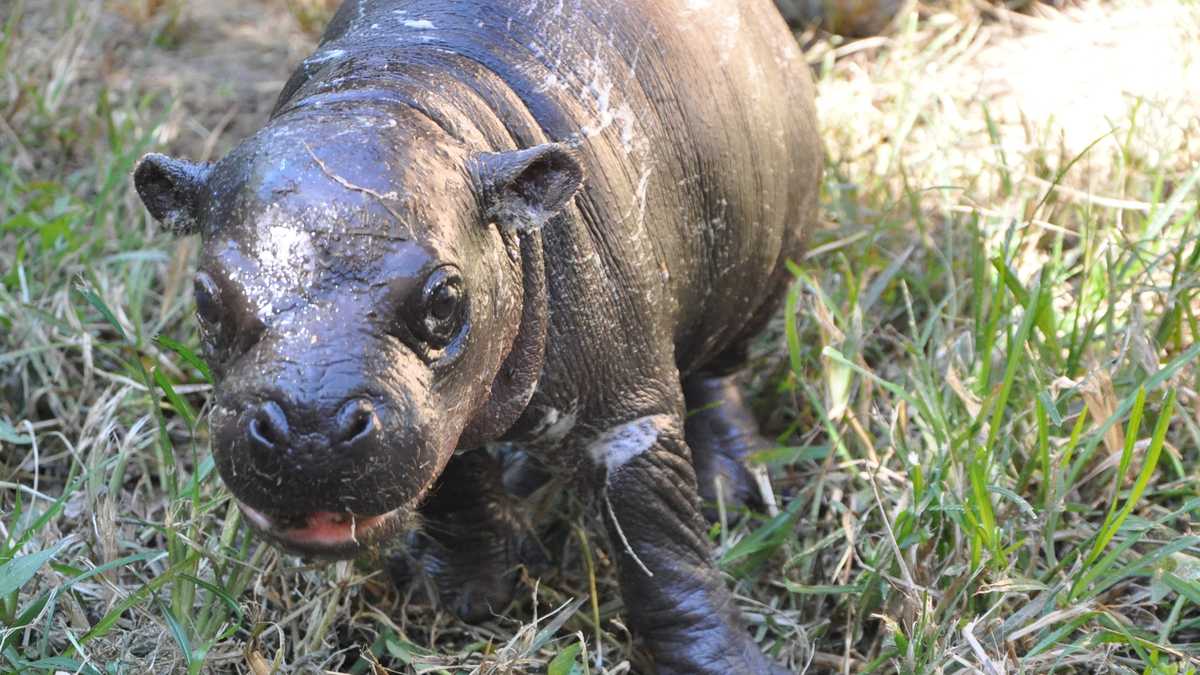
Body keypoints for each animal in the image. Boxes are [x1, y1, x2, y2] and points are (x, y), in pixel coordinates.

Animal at [132, 1, 821, 672]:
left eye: (444, 299)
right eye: (205, 297)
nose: (310, 427)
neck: (387, 90)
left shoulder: (632, 420)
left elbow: (664, 548)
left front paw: (727, 663)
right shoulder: (444, 417)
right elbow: (457, 485)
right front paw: (469, 597)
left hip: (760, 277)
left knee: (717, 375)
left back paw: (735, 484)